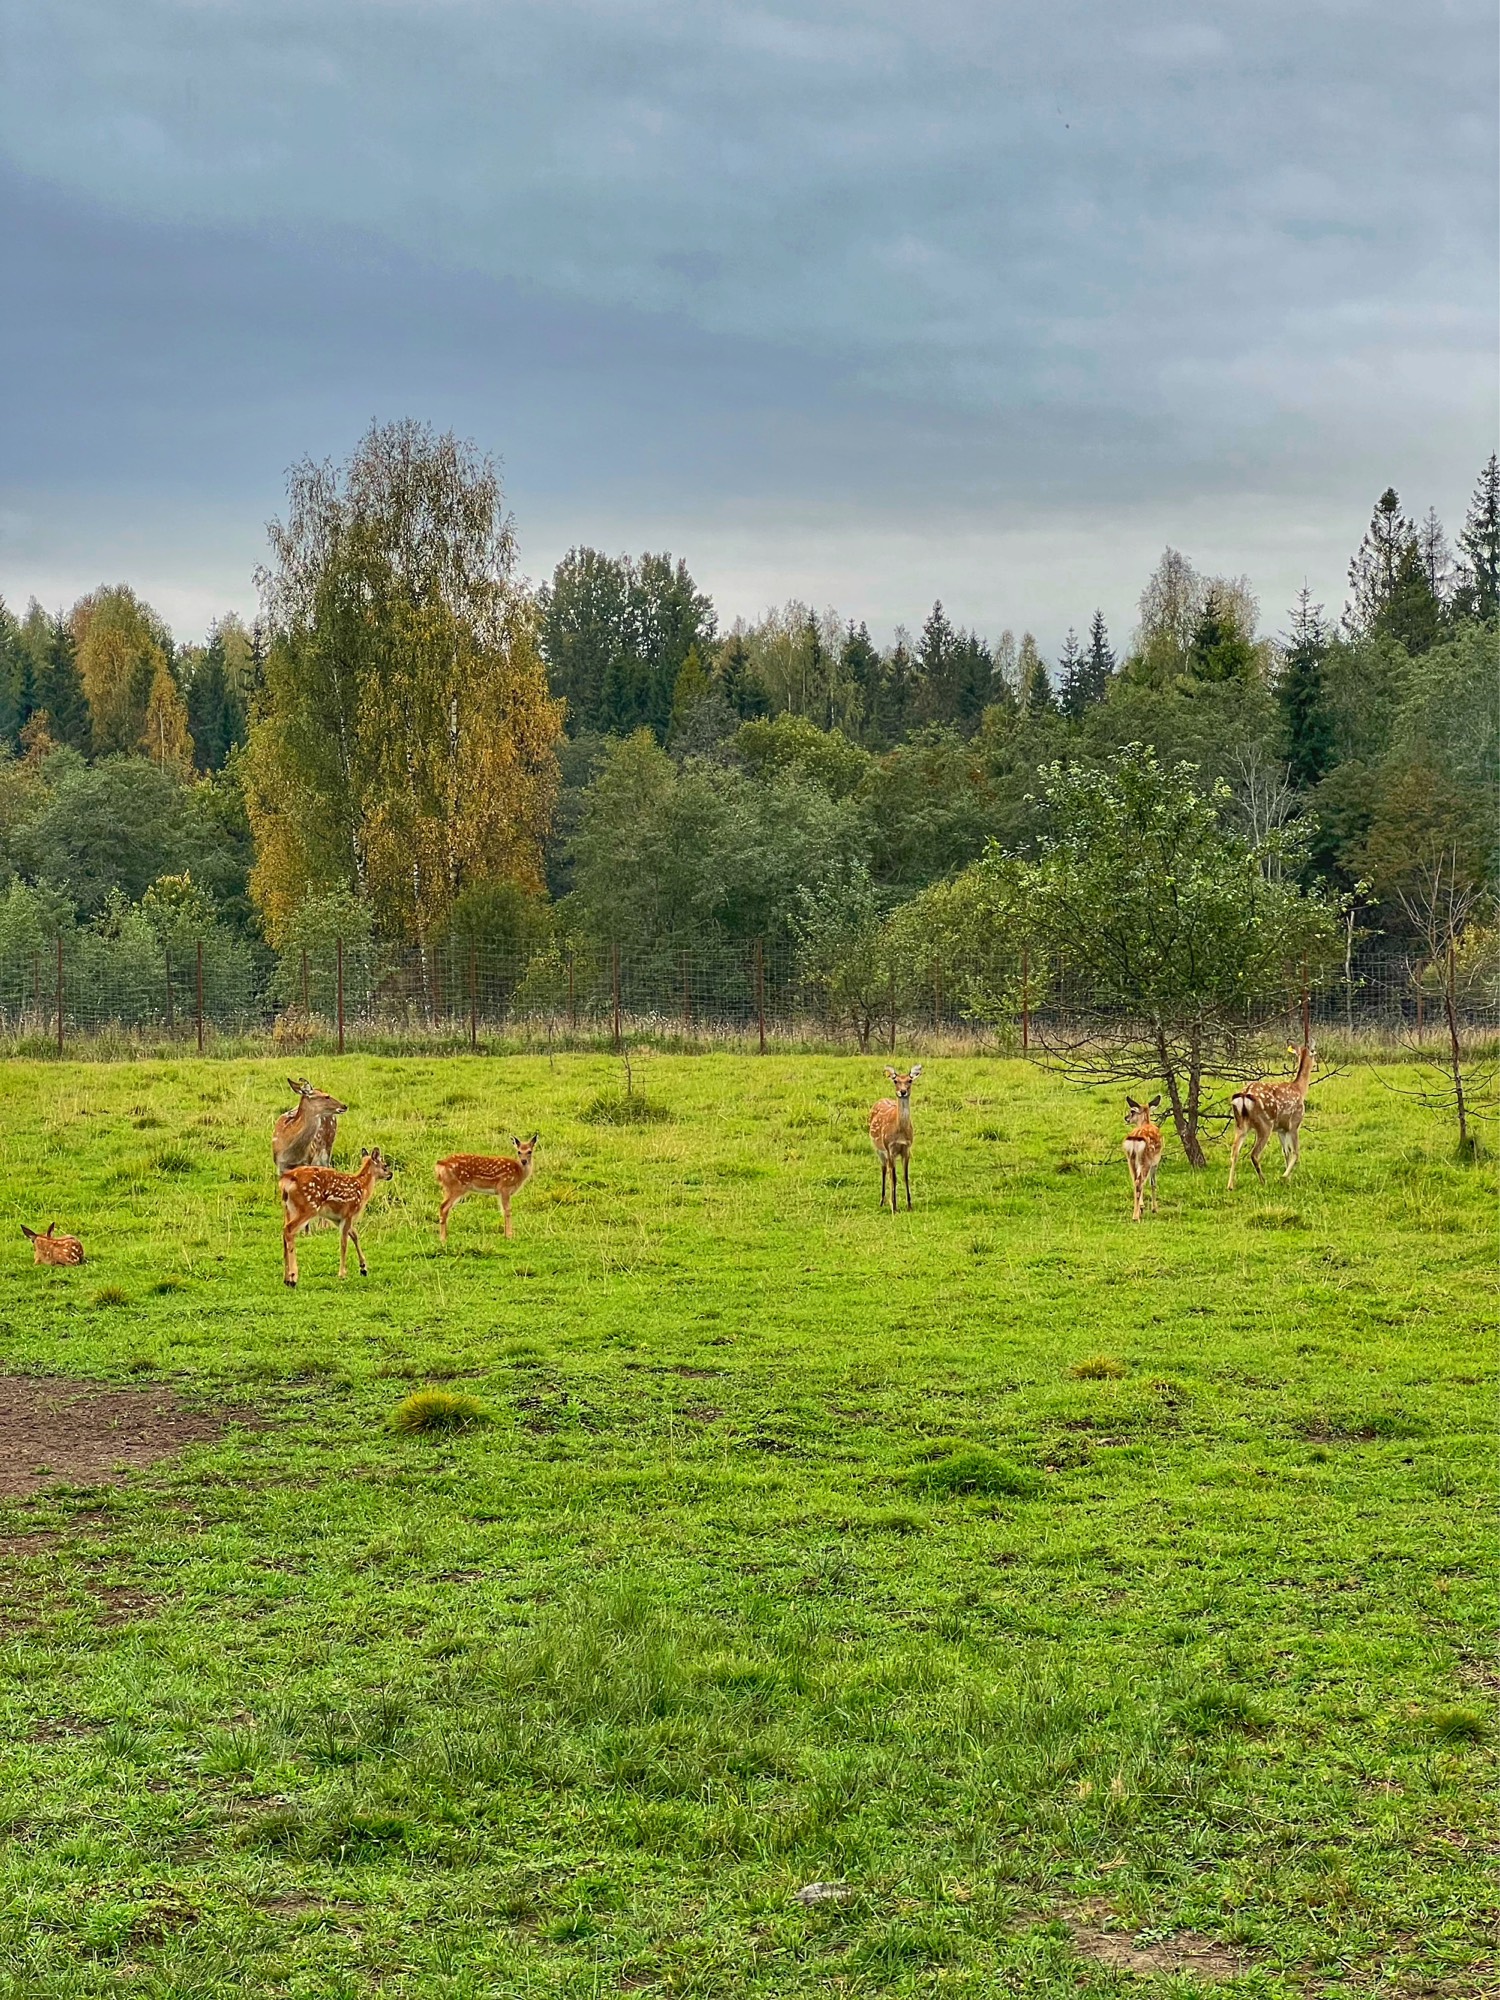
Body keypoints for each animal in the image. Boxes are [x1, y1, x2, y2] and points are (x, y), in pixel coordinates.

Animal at [278, 1152, 390, 1288]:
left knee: (284, 1232)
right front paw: (342, 1274)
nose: (391, 1174)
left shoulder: (337, 1219)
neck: (363, 1188)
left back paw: (286, 1278)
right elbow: (344, 1243)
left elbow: (355, 1235)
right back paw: (293, 1278)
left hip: (288, 1209)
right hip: (308, 1207)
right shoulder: (348, 1213)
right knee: (289, 1230)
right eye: (385, 1165)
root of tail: (287, 1180)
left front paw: (363, 1268)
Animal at [868, 1072, 928, 1208]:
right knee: (884, 1169)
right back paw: (882, 1201)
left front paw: (909, 1205)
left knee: (888, 1170)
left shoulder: (907, 1148)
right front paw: (894, 1207)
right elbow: (894, 1177)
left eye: (910, 1080)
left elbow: (905, 1176)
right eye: (895, 1081)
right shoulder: (890, 1148)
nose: (903, 1091)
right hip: (878, 1149)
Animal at [1232, 1048, 1312, 1184]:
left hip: (1240, 1124)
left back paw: (1230, 1185)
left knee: (1234, 1152)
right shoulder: (1294, 1124)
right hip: (1265, 1125)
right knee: (1254, 1154)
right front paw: (1284, 1177)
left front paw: (1288, 1179)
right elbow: (1295, 1153)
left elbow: (1286, 1152)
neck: (1300, 1089)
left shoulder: (1281, 1129)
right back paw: (1263, 1181)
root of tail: (1244, 1095)